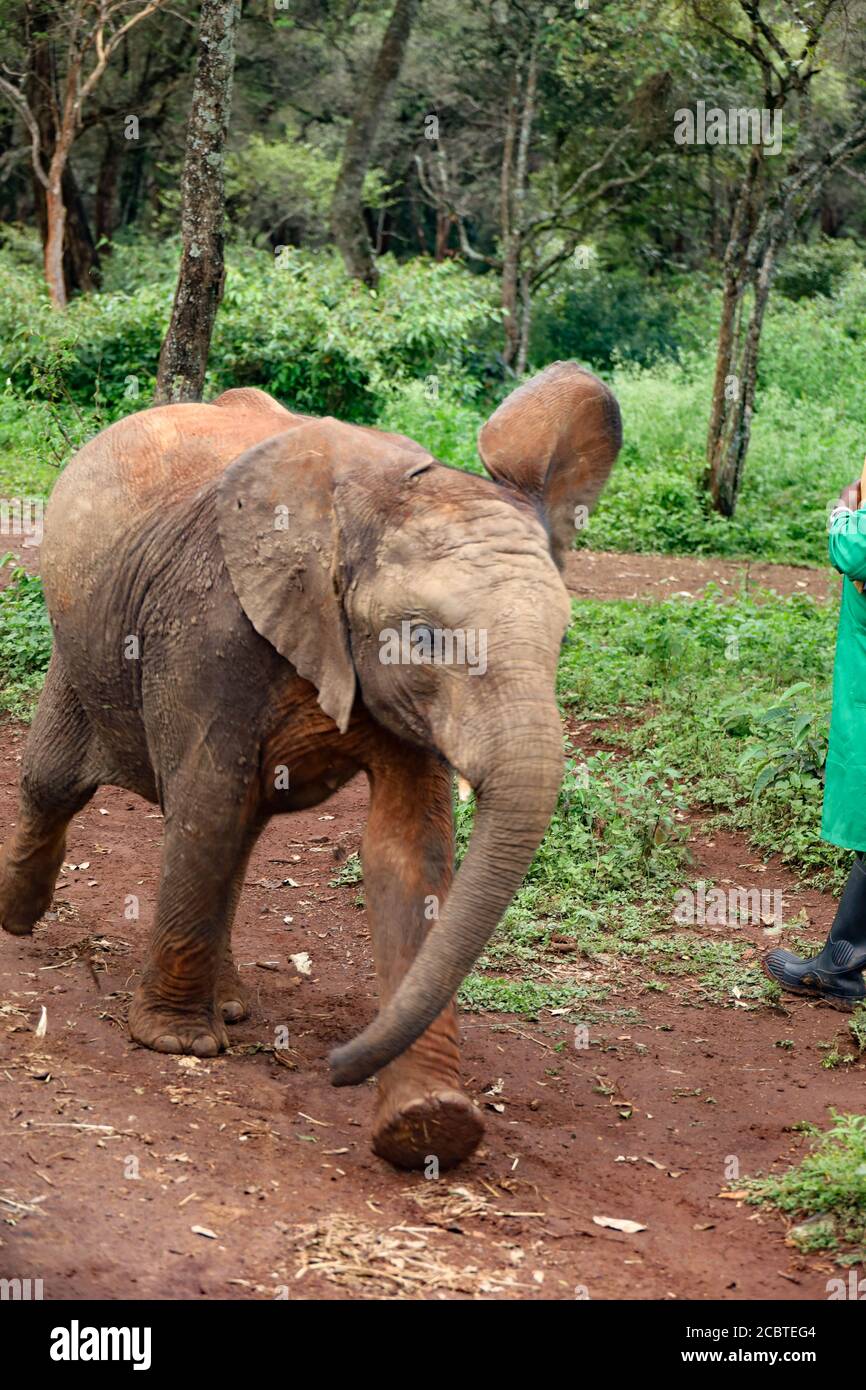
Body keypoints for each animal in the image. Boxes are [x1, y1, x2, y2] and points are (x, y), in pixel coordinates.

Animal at [0, 362, 621, 1169]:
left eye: (563, 642)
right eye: (423, 639)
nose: (332, 1067)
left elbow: (404, 851)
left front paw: (429, 1127)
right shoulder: (211, 631)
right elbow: (207, 802)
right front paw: (177, 1046)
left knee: (236, 836)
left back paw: (231, 1003)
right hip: (81, 646)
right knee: (60, 783)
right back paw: (19, 922)